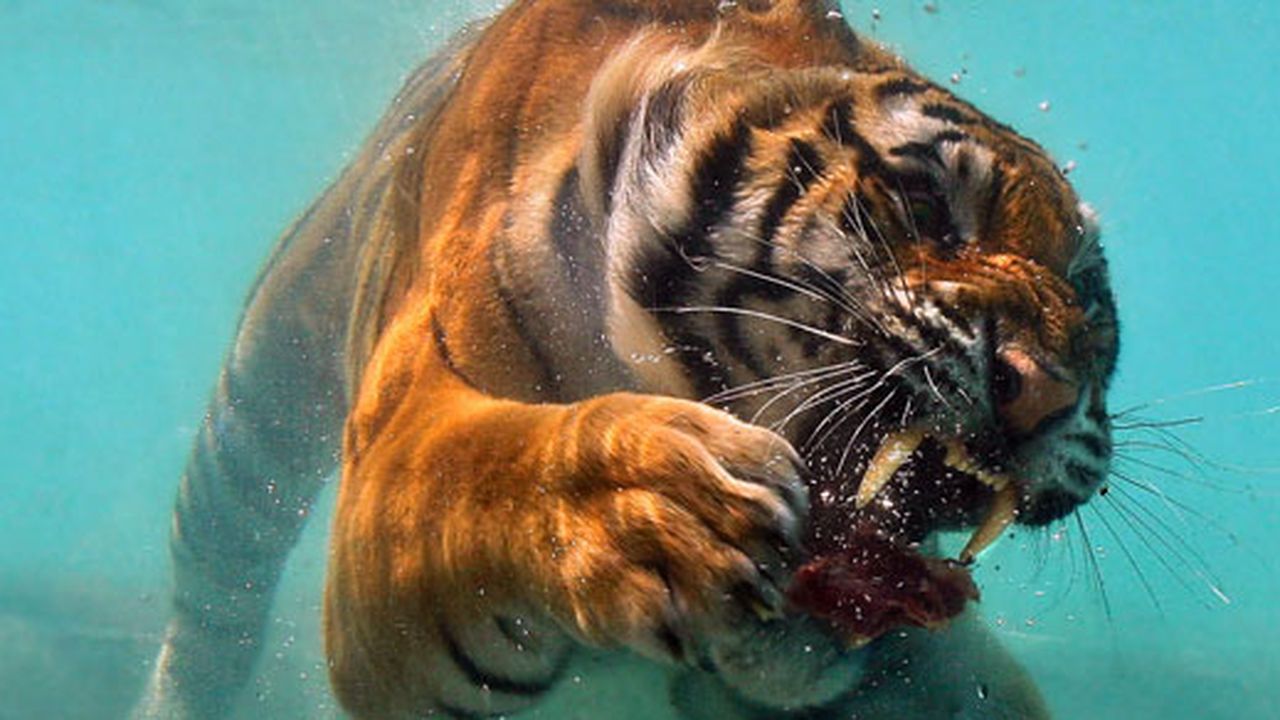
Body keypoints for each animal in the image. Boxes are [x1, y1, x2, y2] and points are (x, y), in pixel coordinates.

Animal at [134, 0, 1119, 718]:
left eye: (1089, 295)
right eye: (924, 203)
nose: (1045, 395)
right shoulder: (396, 442)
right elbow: (475, 469)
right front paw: (659, 511)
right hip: (256, 410)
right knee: (213, 607)